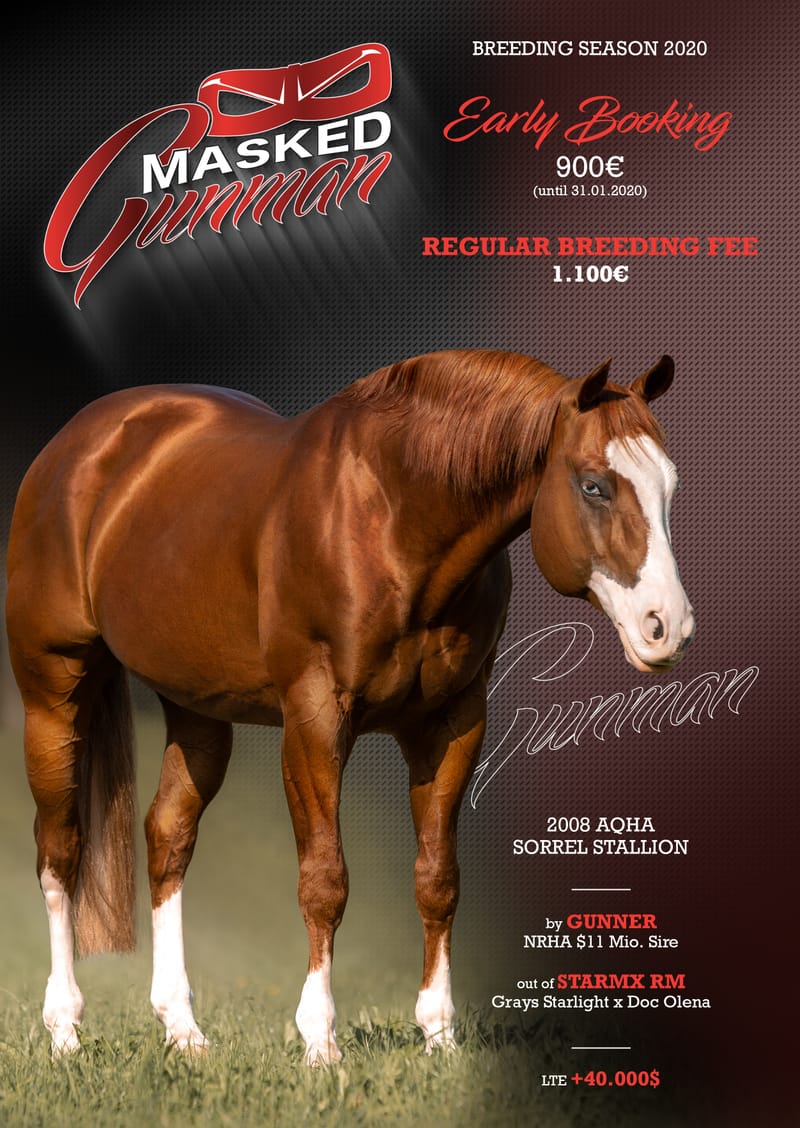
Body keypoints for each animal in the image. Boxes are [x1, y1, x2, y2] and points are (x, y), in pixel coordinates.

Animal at [5, 349, 695, 1064]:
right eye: (593, 485)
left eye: (669, 484)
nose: (667, 627)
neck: (392, 517)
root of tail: (77, 444)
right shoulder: (314, 720)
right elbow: (324, 880)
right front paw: (320, 1041)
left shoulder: (452, 725)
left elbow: (438, 880)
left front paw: (439, 1036)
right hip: (52, 692)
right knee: (60, 850)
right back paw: (65, 1029)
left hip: (198, 710)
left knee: (167, 837)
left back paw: (183, 1028)